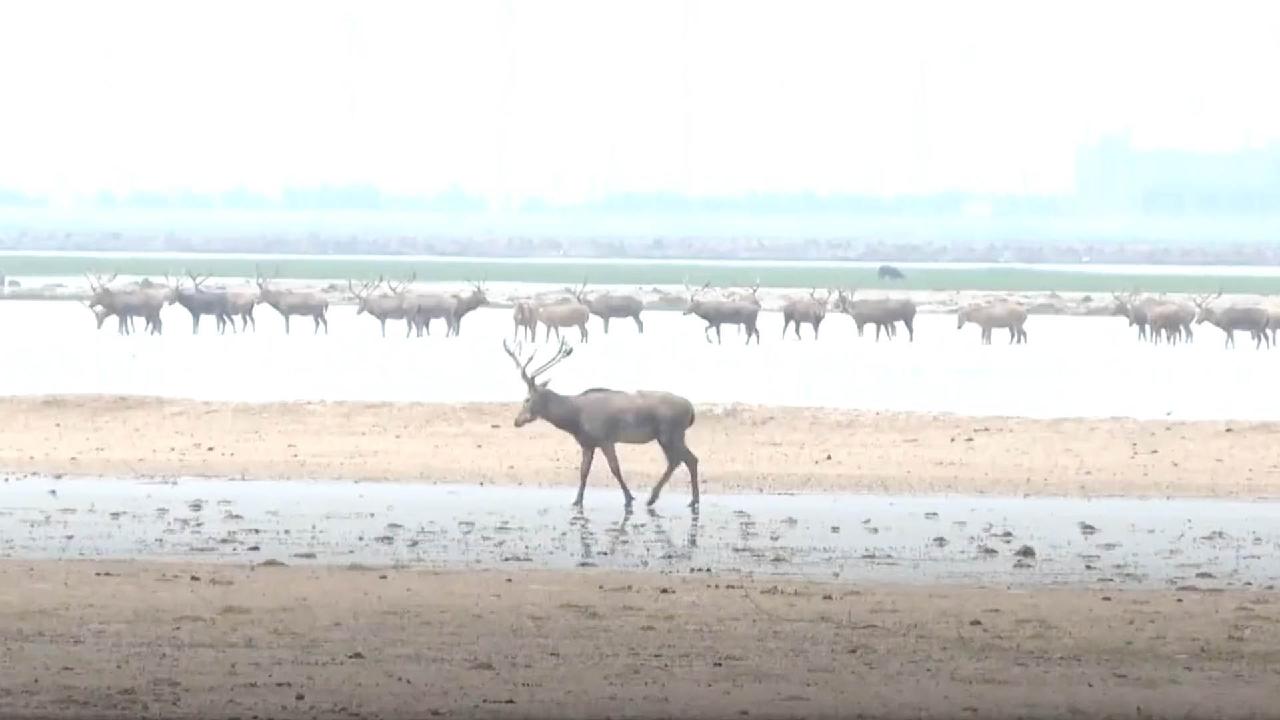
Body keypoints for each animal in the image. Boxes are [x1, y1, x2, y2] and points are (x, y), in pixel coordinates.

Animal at [501, 338, 700, 509]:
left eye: (526, 399)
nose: (517, 421)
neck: (574, 419)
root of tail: (691, 410)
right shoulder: (588, 443)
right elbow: (583, 471)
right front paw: (577, 501)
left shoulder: (605, 439)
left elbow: (614, 468)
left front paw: (629, 498)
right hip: (667, 436)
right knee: (678, 460)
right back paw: (670, 498)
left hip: (671, 433)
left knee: (688, 459)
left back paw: (676, 499)